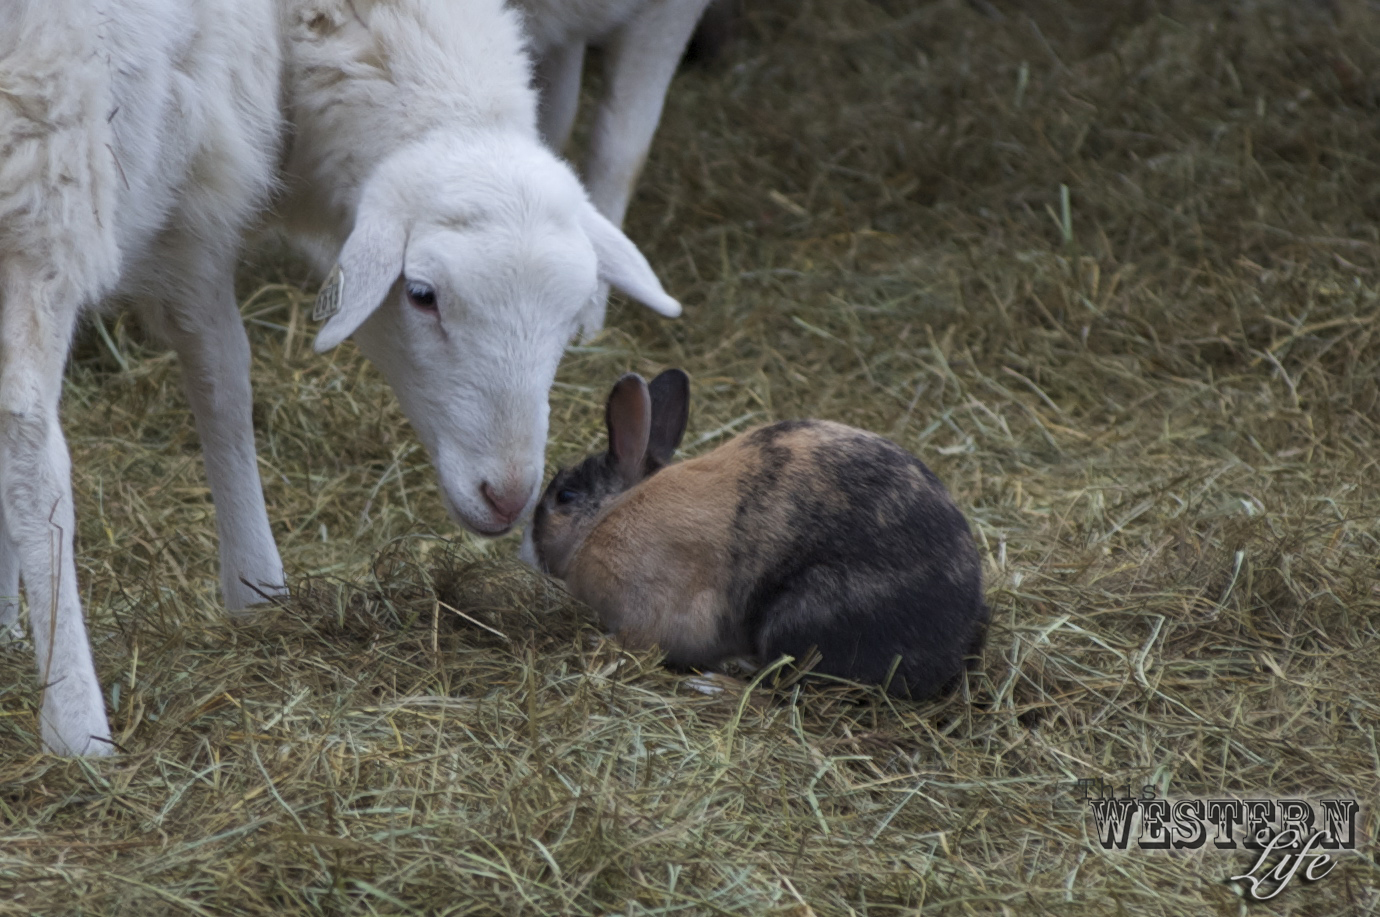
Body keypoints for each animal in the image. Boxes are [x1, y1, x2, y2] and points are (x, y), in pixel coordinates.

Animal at [1, 0, 680, 756]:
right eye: (421, 294)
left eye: (570, 318)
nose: (507, 498)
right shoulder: (204, 181)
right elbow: (223, 378)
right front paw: (257, 589)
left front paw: (4, 624)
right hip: (56, 145)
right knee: (28, 438)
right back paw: (76, 723)